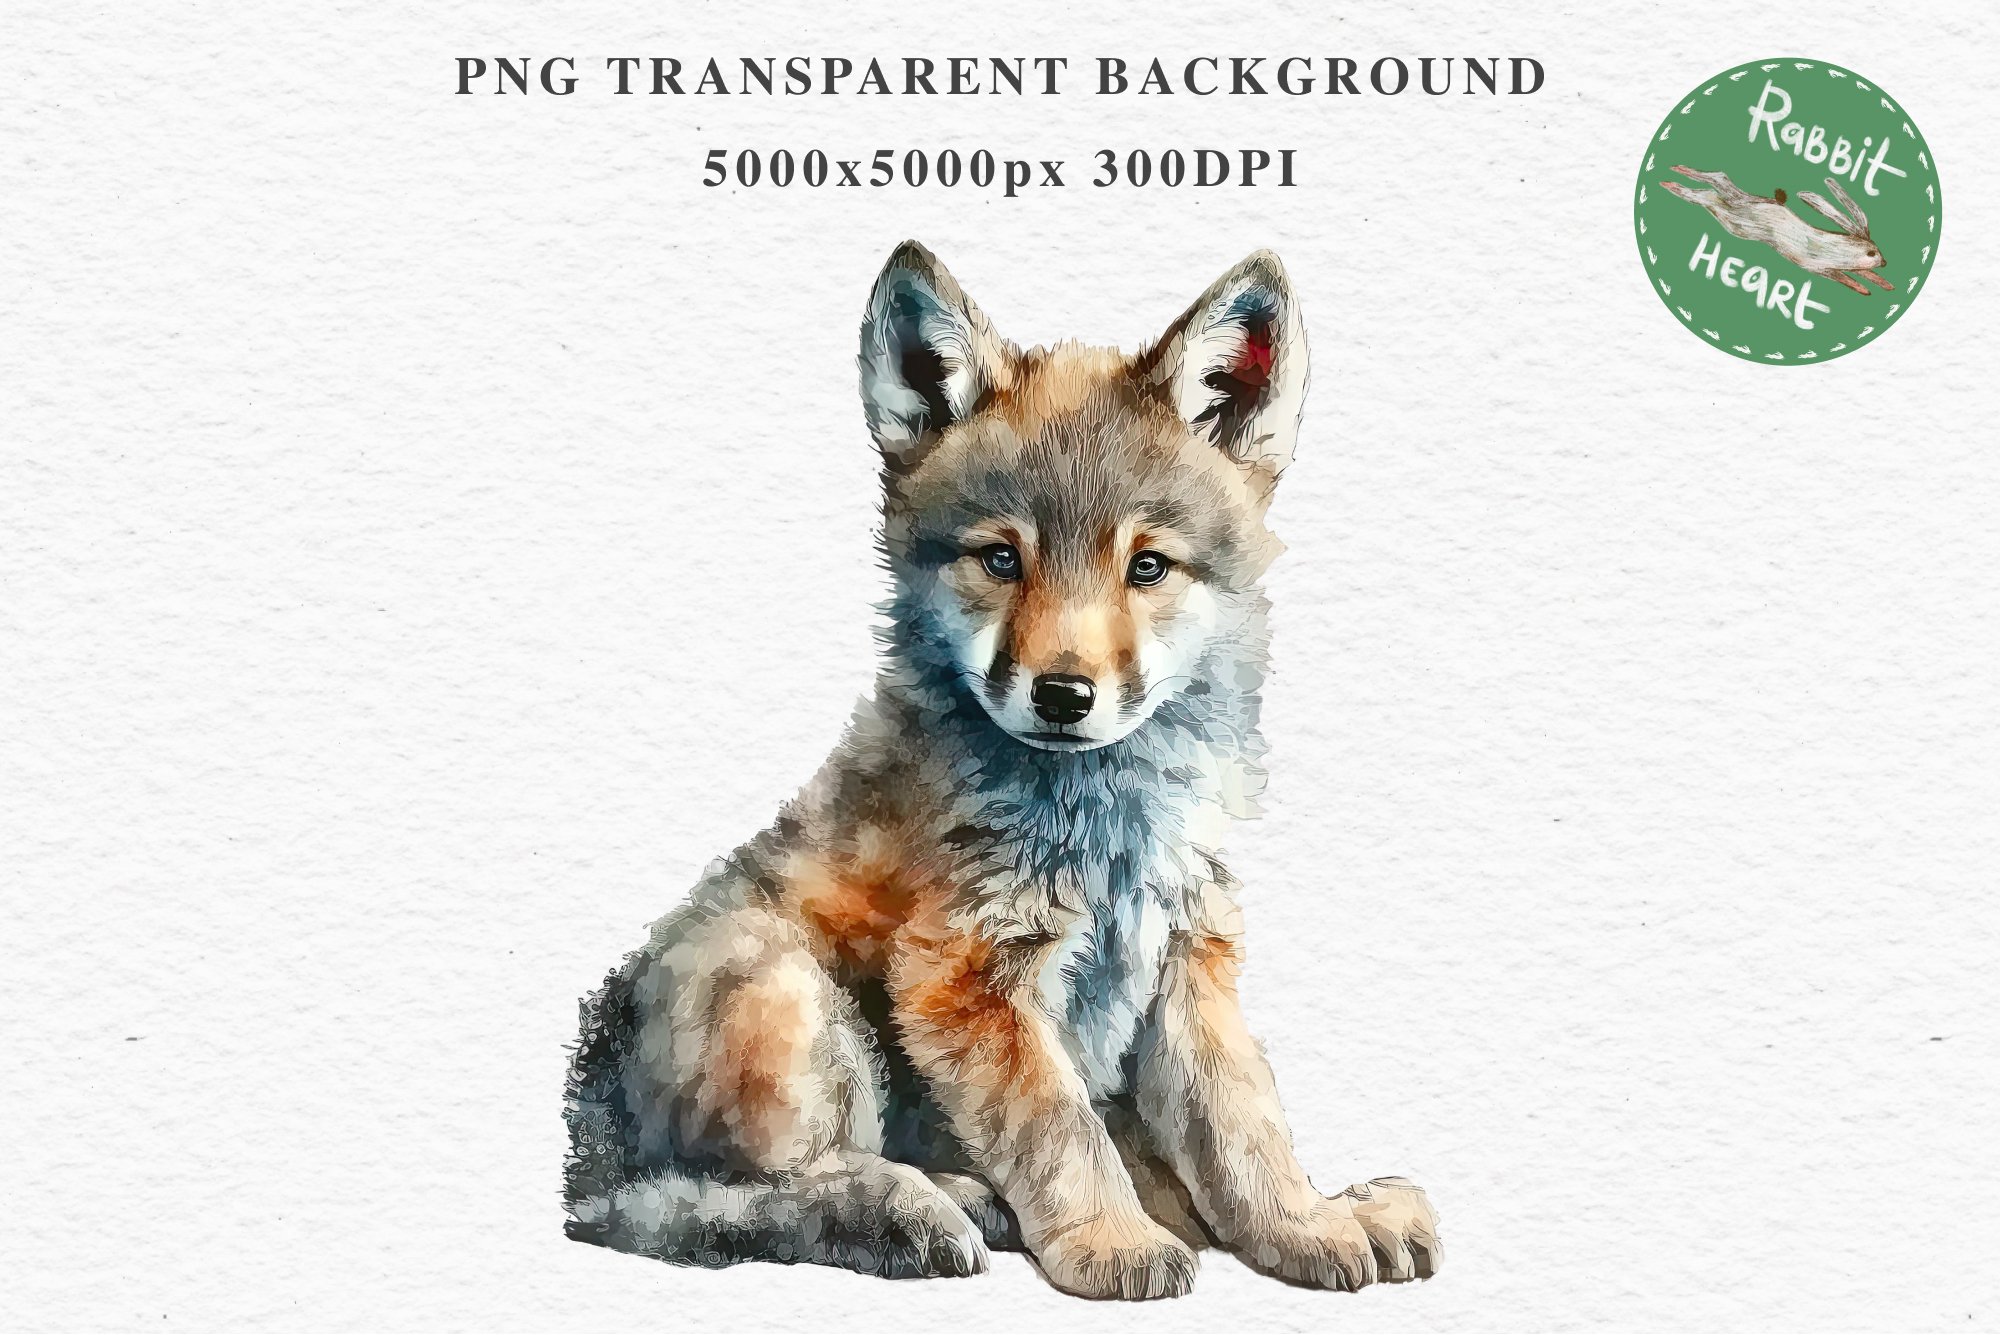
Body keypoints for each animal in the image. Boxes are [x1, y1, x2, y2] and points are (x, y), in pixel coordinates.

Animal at [563, 241, 1442, 1300]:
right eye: (999, 558)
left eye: (1148, 567)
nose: (1062, 694)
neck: (1108, 822)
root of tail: (588, 1147)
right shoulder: (967, 975)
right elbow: (1062, 1132)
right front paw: (1112, 1241)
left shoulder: (1190, 956)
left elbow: (1244, 1128)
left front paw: (1305, 1223)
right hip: (783, 989)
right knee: (753, 1190)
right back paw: (919, 1211)